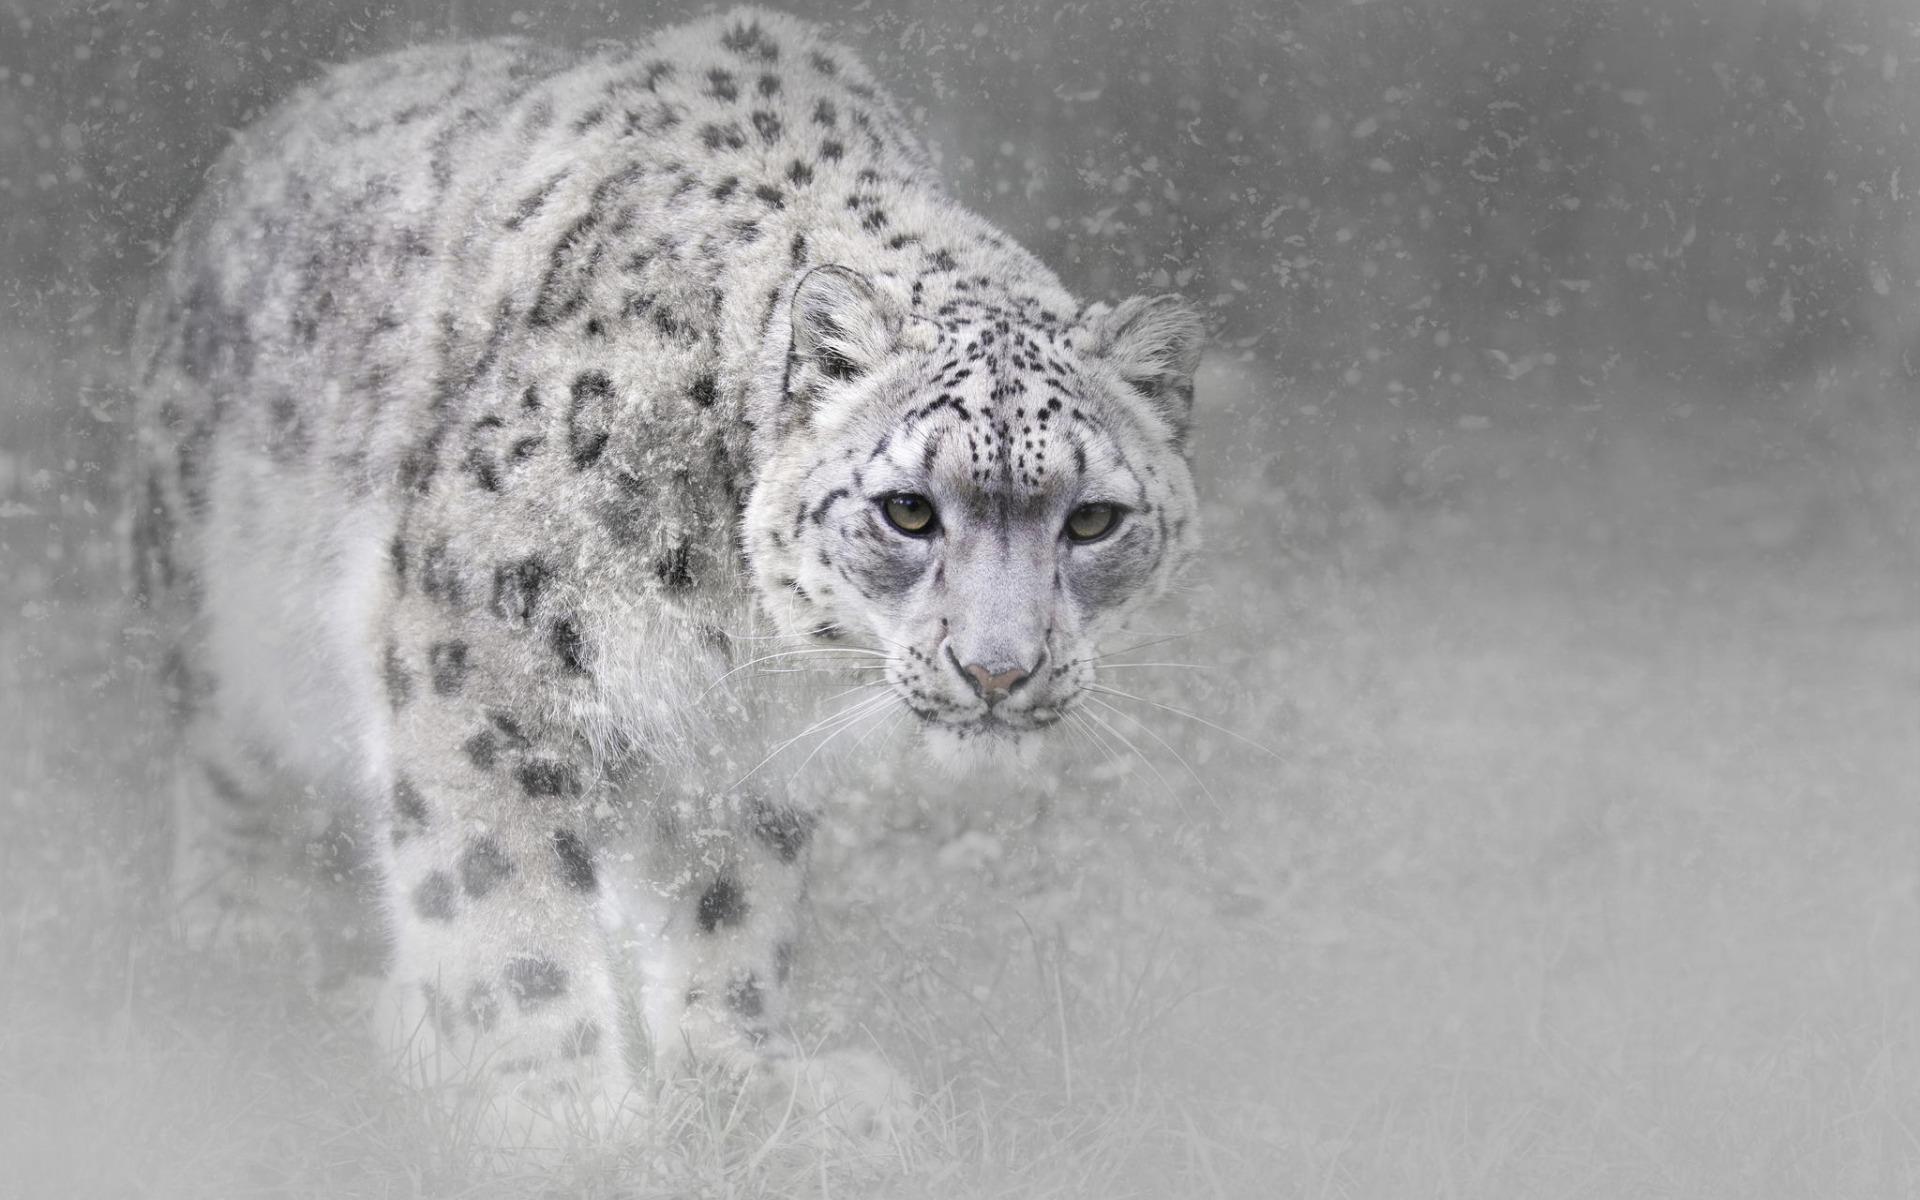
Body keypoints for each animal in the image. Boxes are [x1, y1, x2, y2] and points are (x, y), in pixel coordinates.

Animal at [129, 6, 1204, 1142]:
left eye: (1092, 519)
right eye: (908, 509)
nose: (1000, 670)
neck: (731, 618)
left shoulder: (748, 743)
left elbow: (731, 902)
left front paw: (746, 1075)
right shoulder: (478, 646)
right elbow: (498, 884)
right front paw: (561, 1112)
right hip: (215, 592)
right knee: (226, 756)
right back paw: (247, 927)